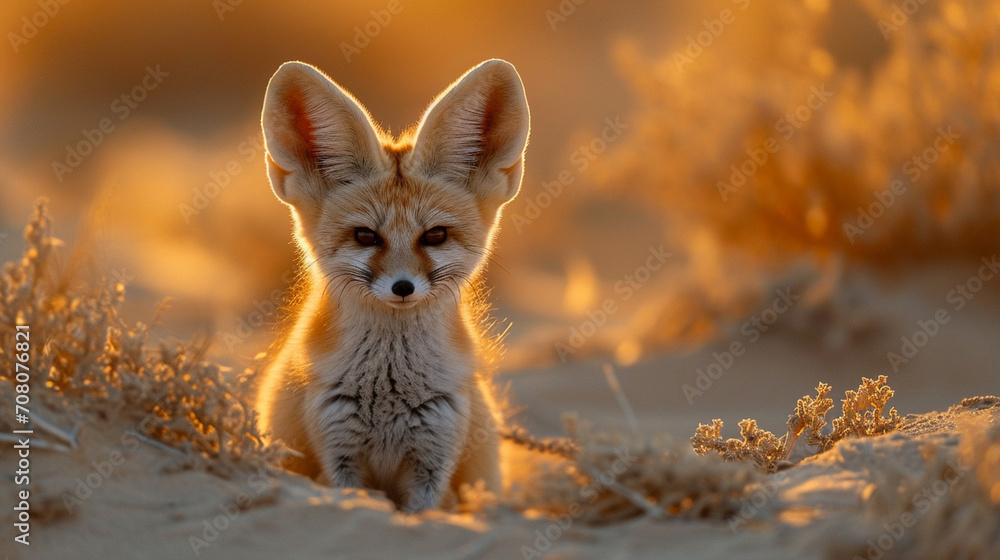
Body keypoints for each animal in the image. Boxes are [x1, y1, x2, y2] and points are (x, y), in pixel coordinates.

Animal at [254, 59, 530, 513]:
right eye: (366, 237)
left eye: (435, 236)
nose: (403, 287)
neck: (388, 390)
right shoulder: (337, 450)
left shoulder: (435, 454)